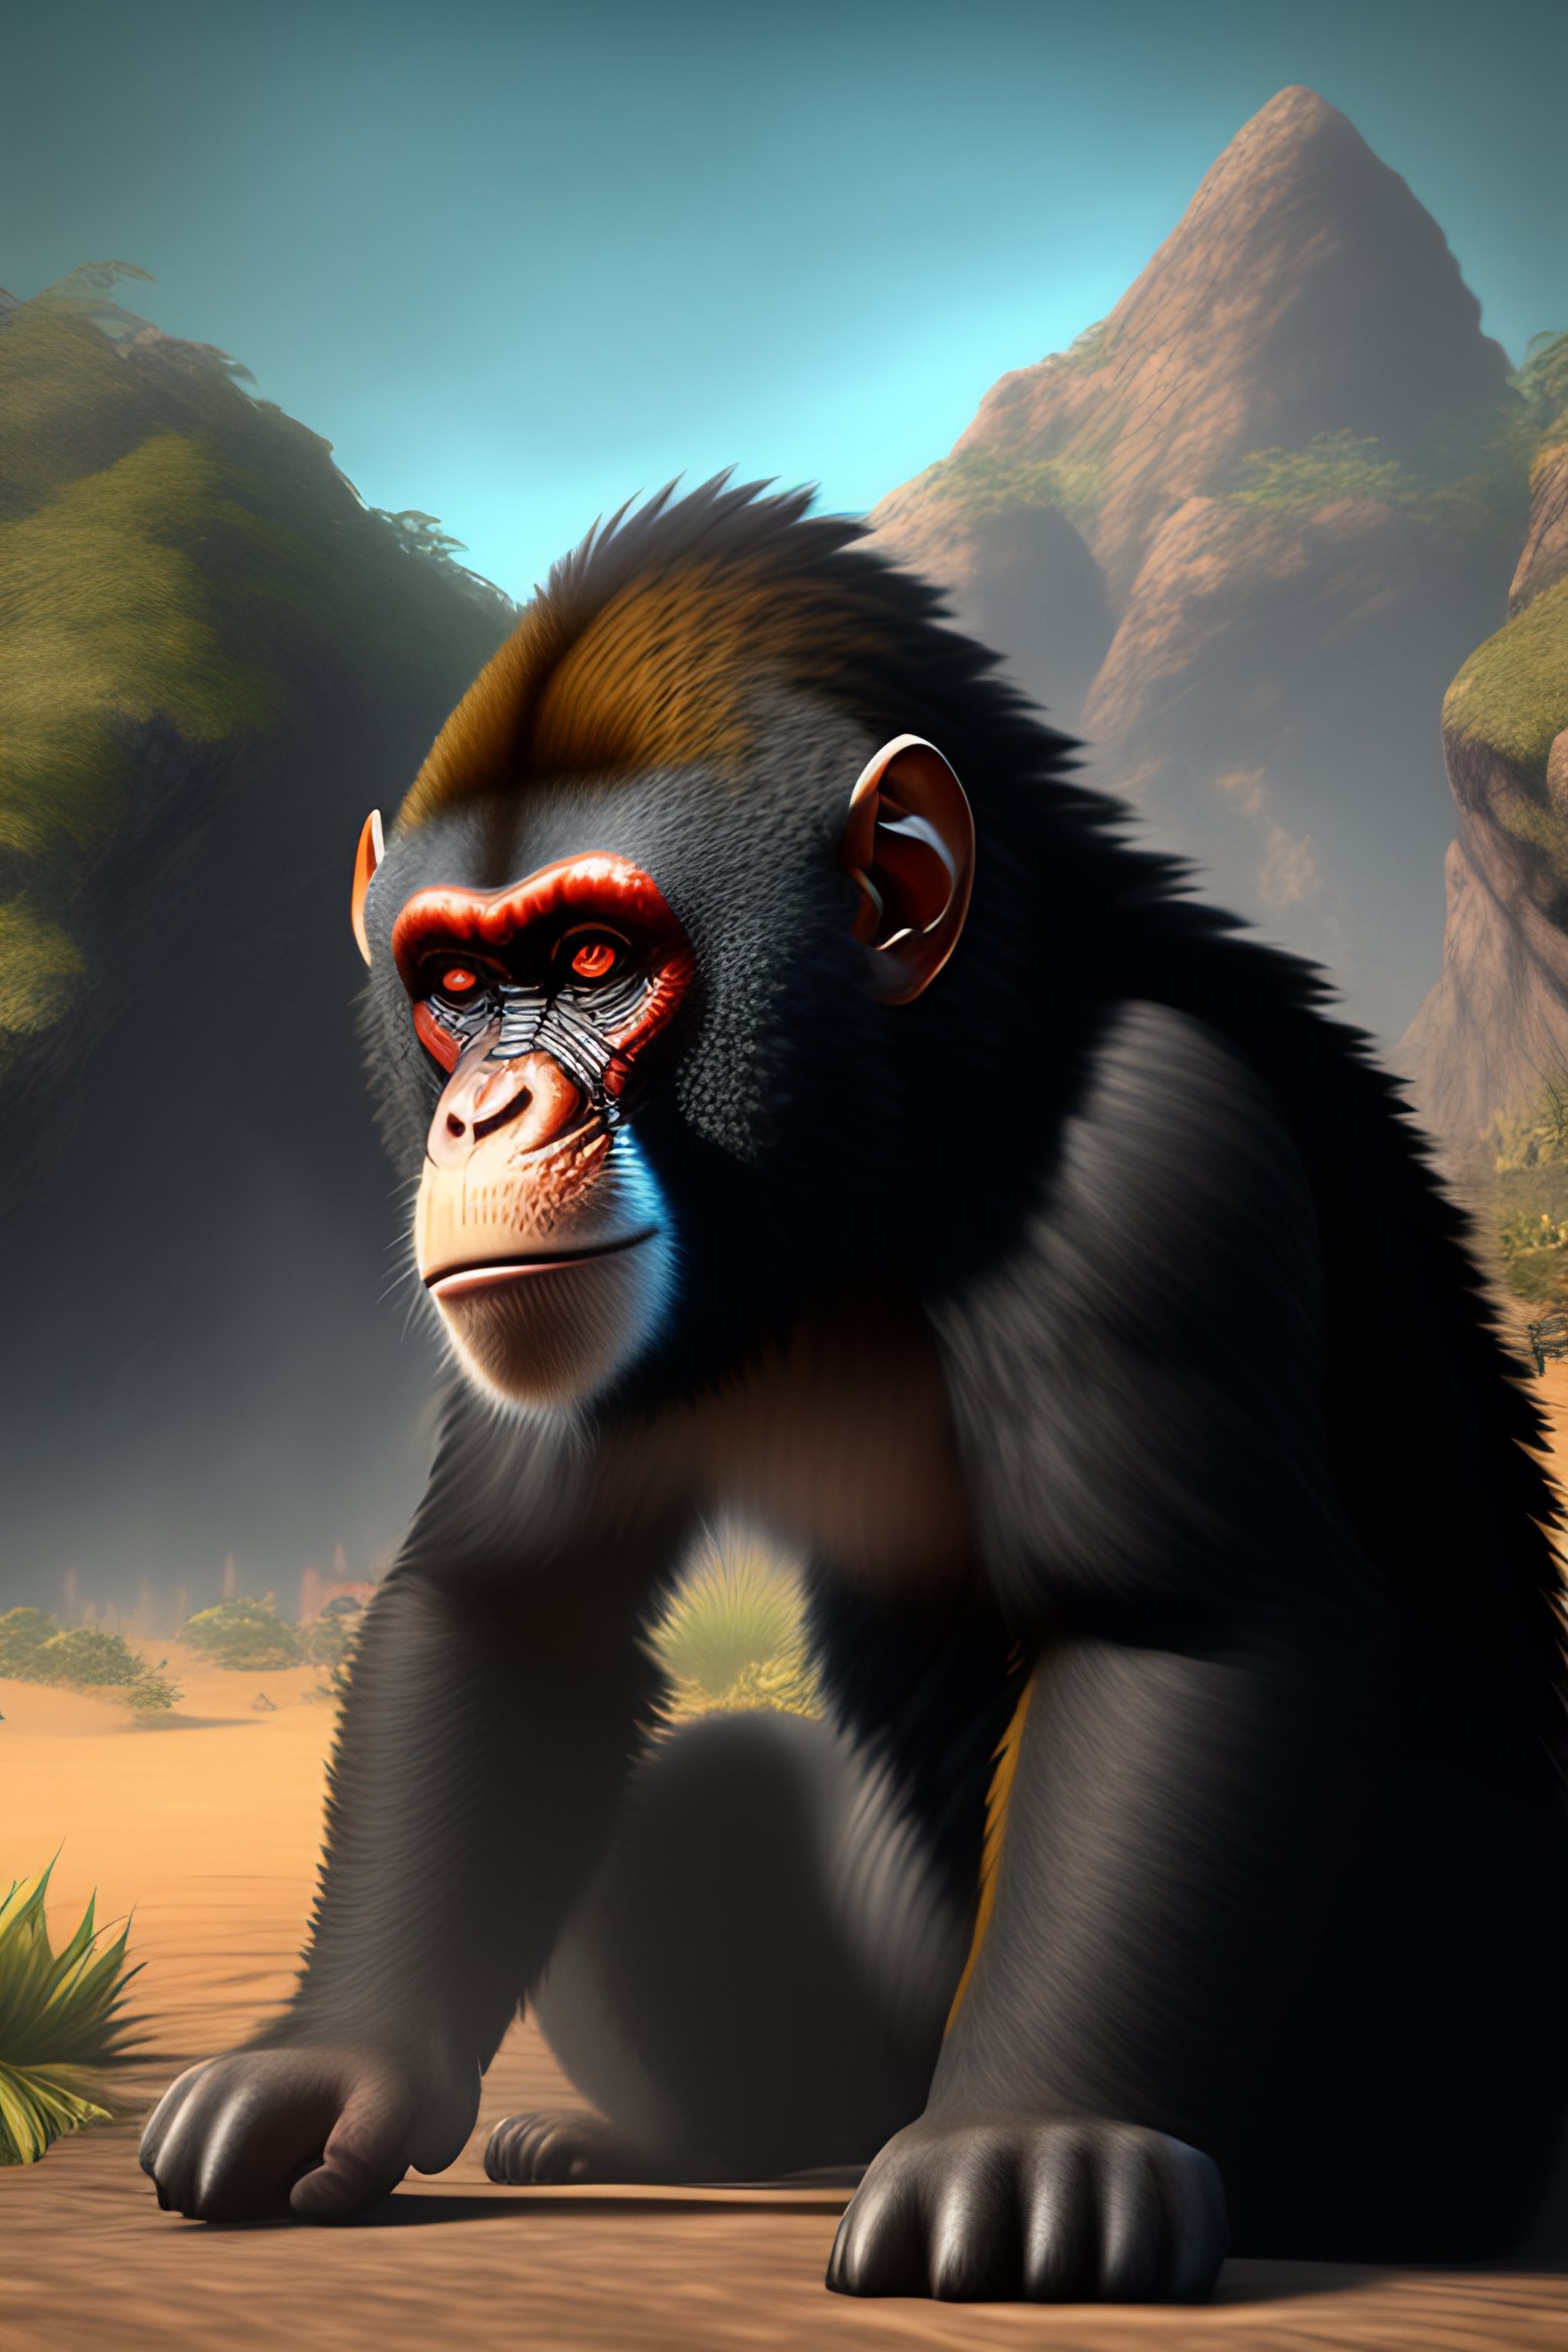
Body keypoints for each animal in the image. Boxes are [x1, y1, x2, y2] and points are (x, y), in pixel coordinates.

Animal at [140, 477, 1568, 2301]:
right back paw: (671, 2142)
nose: (481, 1113)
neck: (891, 1135)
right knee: (697, 1801)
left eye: (593, 957)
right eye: (454, 988)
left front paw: (1032, 2143)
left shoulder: (1155, 1155)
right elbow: (513, 1612)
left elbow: (1167, 1636)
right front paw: (338, 2065)